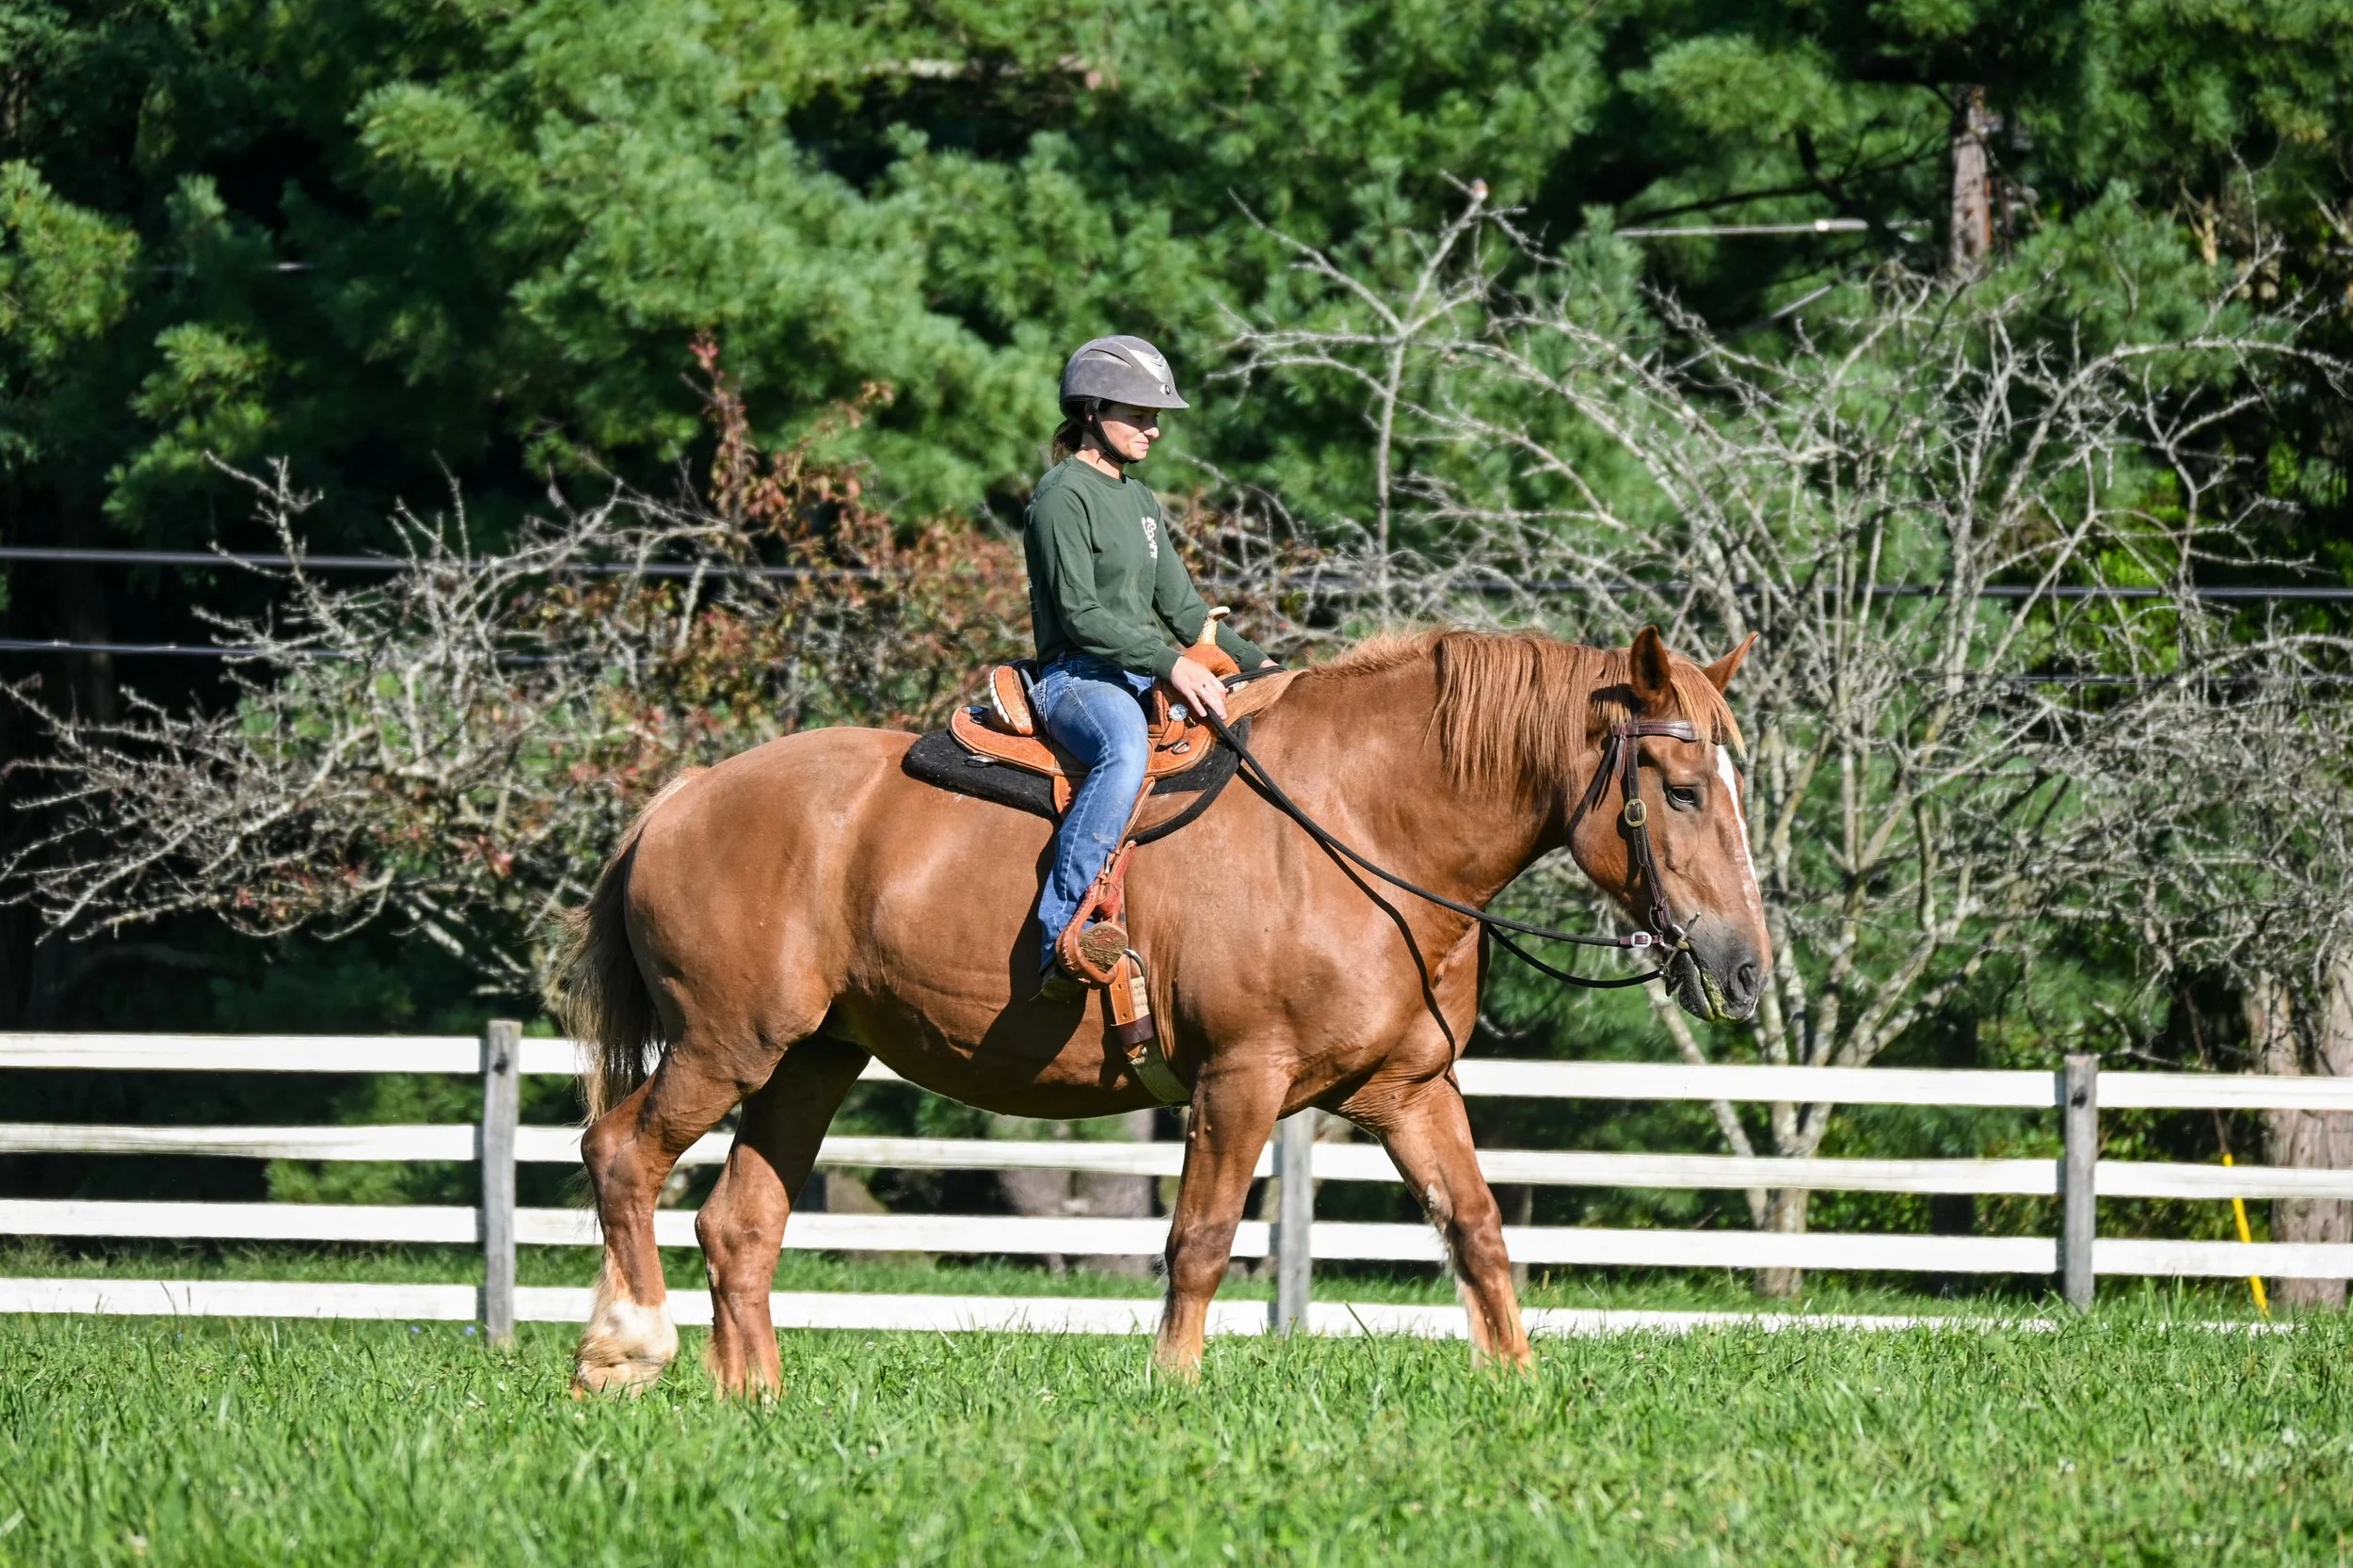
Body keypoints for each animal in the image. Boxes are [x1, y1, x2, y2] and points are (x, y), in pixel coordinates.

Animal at [551, 623, 1768, 1394]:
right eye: (1679, 790)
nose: (1748, 966)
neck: (1358, 826)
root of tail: (683, 797)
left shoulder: (1409, 1090)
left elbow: (1474, 1228)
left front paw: (1515, 1380)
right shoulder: (1239, 1081)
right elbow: (1199, 1239)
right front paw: (1173, 1388)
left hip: (809, 1061)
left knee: (738, 1224)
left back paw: (753, 1397)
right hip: (724, 1046)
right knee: (620, 1154)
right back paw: (626, 1348)